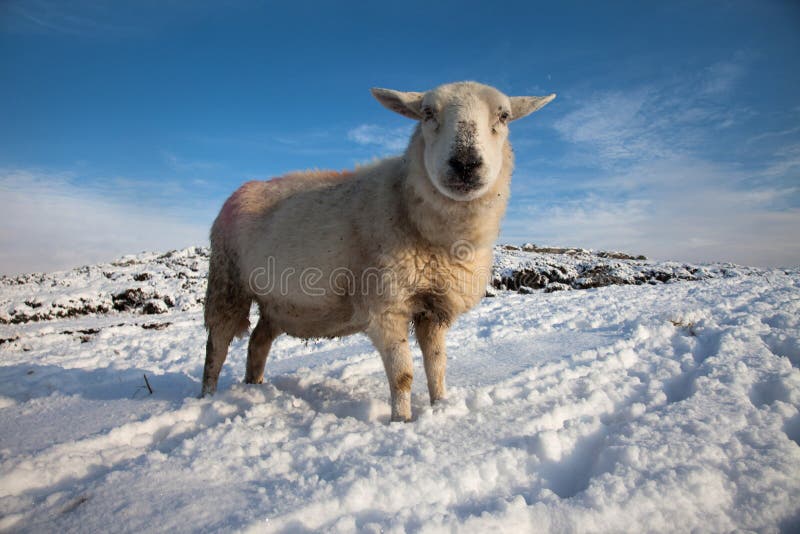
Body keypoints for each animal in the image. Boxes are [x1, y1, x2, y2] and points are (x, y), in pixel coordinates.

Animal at [202, 81, 555, 421]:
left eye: (504, 116)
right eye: (427, 113)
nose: (465, 164)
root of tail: (243, 188)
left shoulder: (433, 308)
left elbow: (437, 365)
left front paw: (441, 406)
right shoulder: (387, 307)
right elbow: (403, 375)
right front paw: (402, 421)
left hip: (277, 302)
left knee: (258, 342)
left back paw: (254, 385)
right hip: (227, 282)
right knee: (217, 346)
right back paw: (207, 397)